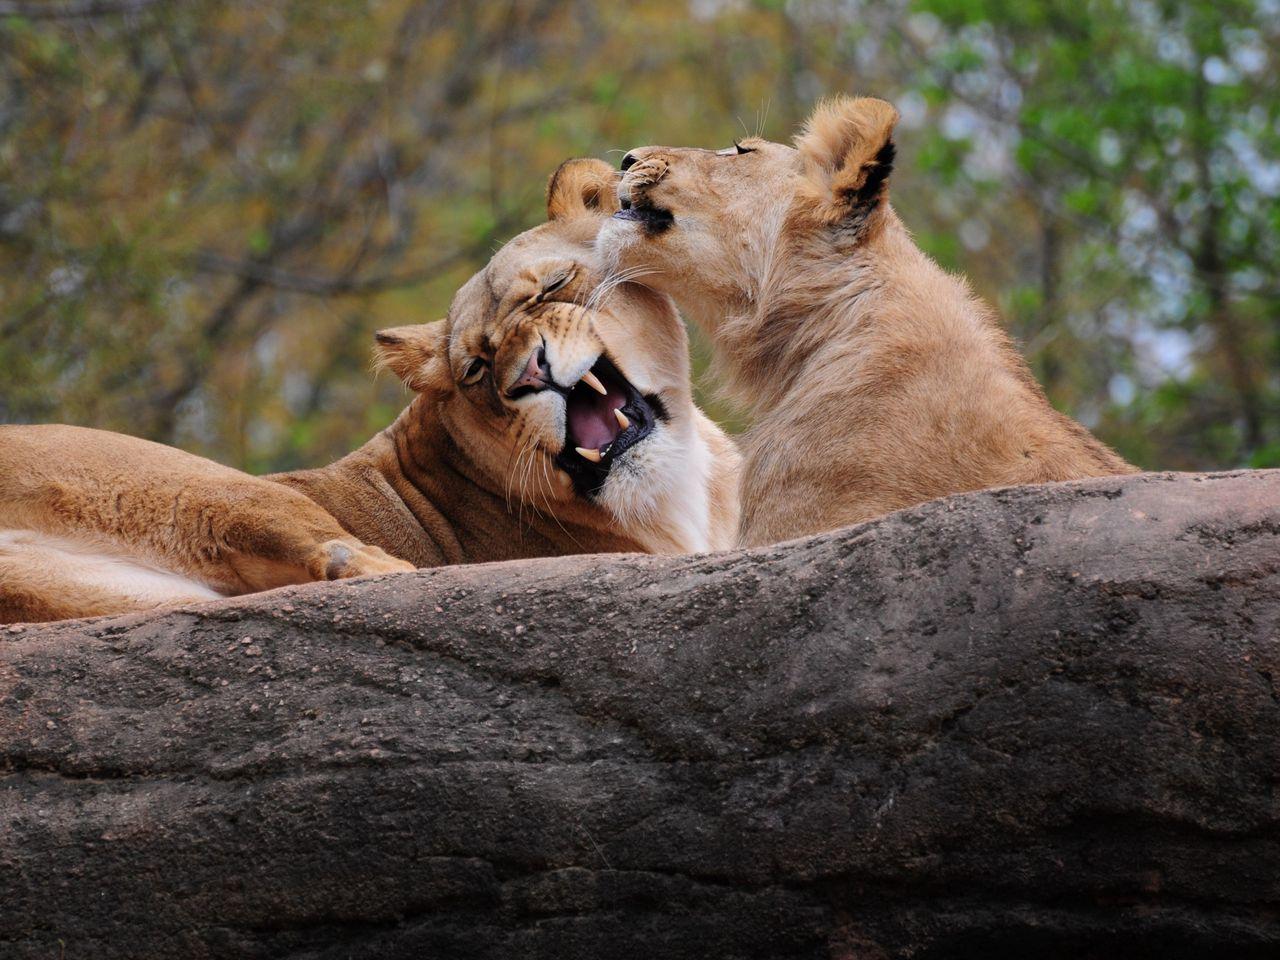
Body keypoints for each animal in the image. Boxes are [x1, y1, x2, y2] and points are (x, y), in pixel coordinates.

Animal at [0, 159, 741, 624]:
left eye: (551, 287)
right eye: (476, 368)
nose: (529, 373)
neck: (684, 488)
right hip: (199, 478)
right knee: (331, 553)